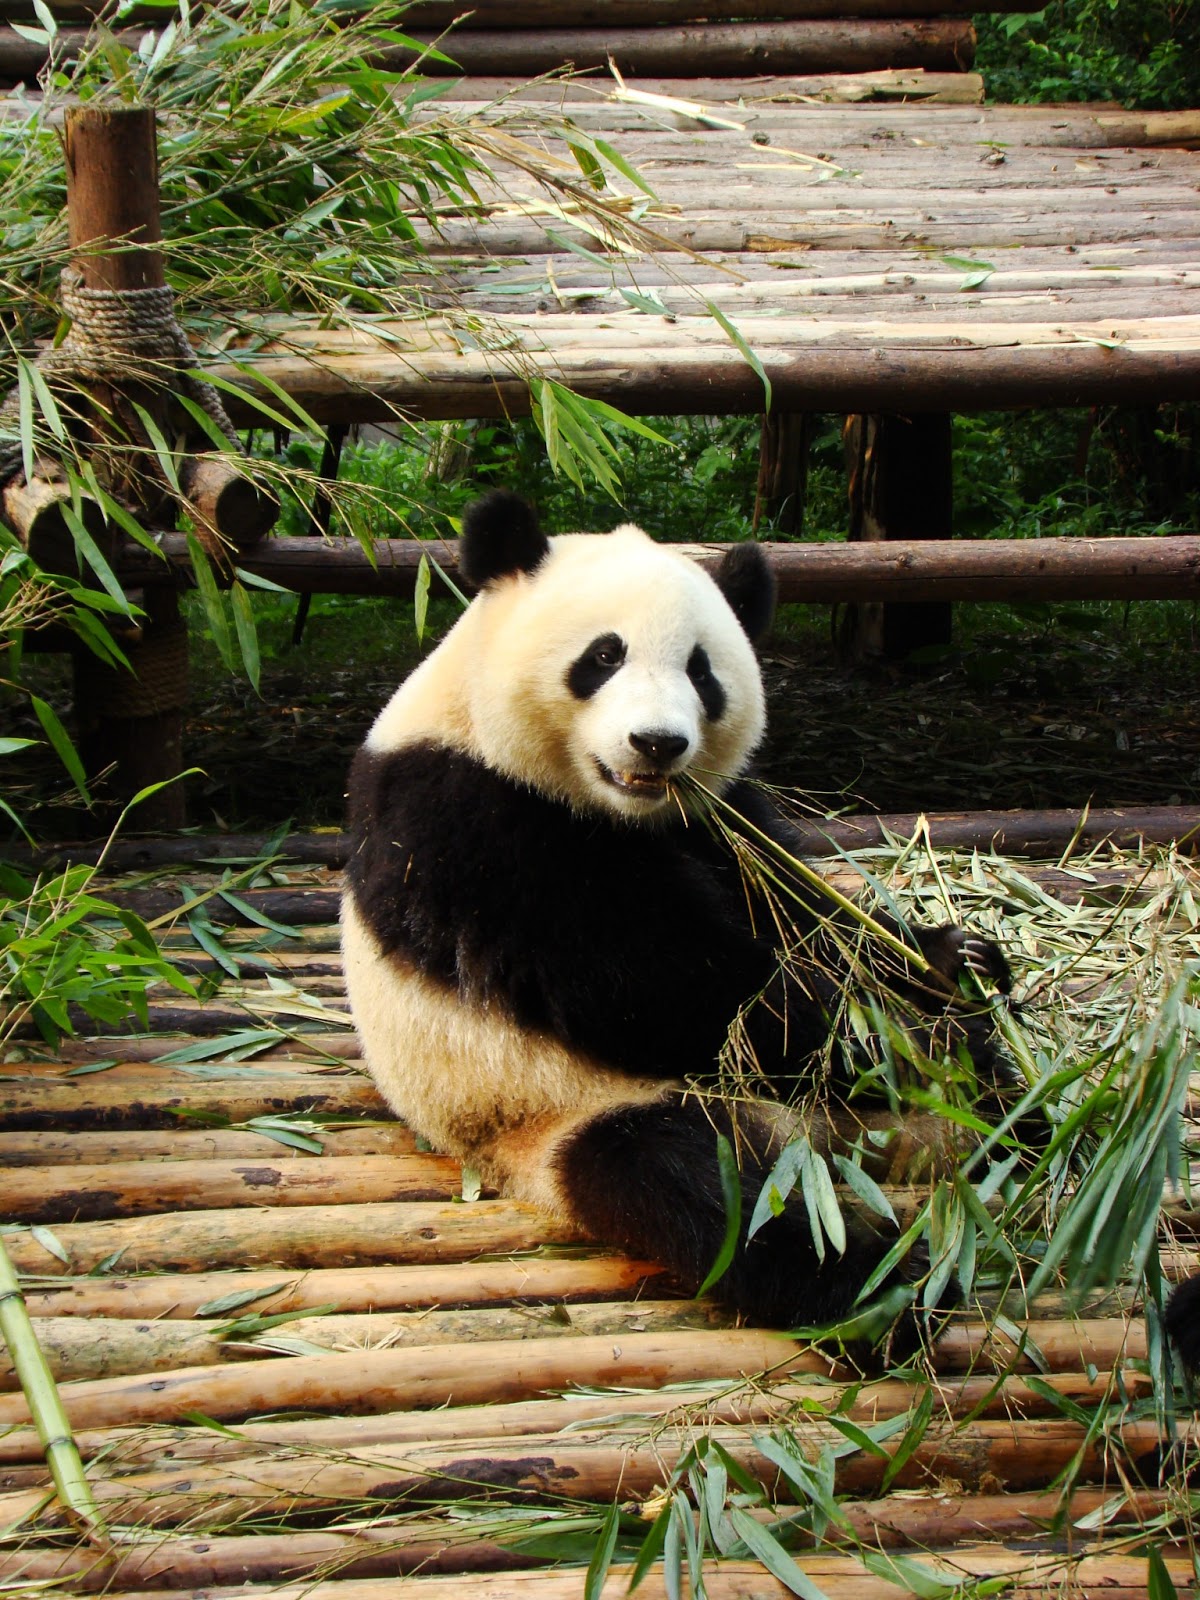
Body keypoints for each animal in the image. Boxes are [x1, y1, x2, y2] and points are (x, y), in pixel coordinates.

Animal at [342, 489, 1014, 1355]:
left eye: (702, 671)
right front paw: (876, 1035)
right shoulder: (462, 818)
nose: (657, 744)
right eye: (603, 656)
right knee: (704, 1188)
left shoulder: (719, 817)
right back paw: (886, 1290)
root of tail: (824, 1140)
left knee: (983, 1100)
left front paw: (947, 958)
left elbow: (806, 910)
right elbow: (662, 984)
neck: (616, 809)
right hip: (560, 1114)